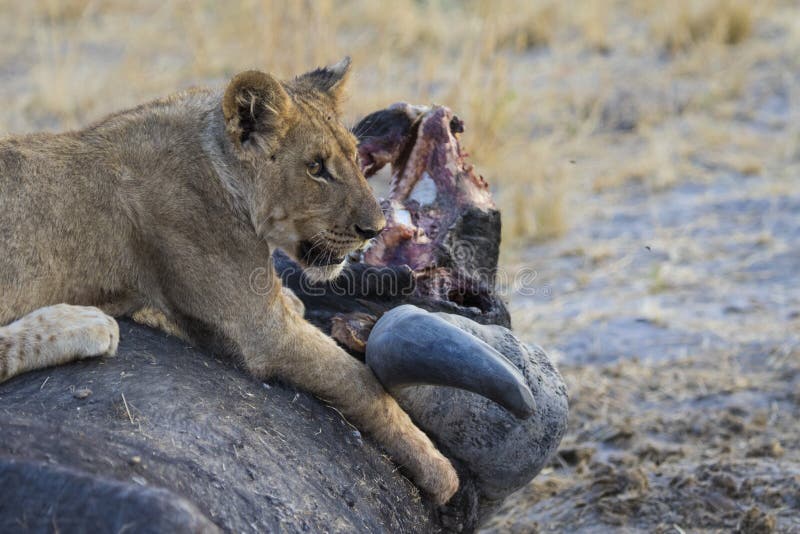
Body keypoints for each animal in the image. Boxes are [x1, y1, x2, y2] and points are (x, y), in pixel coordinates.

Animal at [0, 58, 458, 504]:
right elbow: (361, 382)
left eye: (354, 156)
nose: (374, 229)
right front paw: (436, 468)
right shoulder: (261, 334)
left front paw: (292, 298)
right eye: (315, 167)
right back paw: (82, 325)